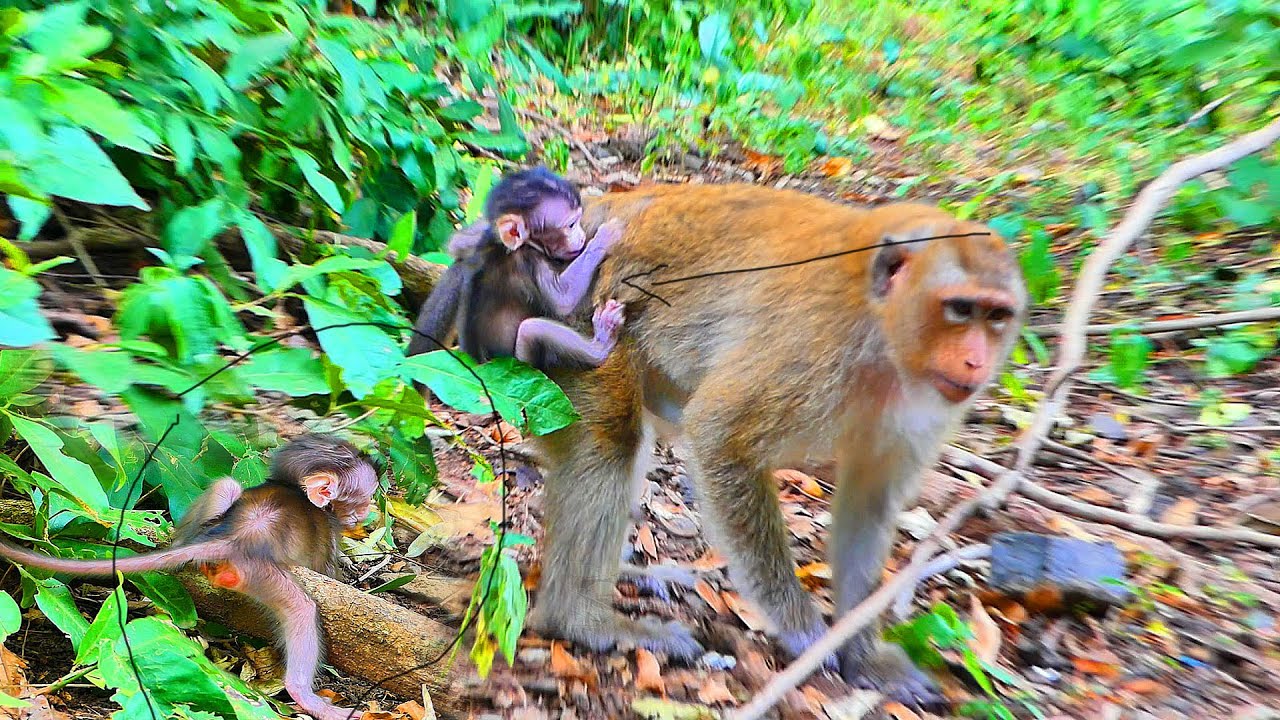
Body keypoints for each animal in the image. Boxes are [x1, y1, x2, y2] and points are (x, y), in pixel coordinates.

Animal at [0, 433, 379, 720]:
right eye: (365, 499)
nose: (369, 513)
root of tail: (231, 534)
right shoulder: (326, 538)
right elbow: (327, 572)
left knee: (226, 485)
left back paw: (180, 544)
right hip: (258, 570)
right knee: (300, 608)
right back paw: (303, 693)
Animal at [405, 166, 627, 372]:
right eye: (571, 225)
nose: (581, 237)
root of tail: (479, 364)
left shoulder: (484, 240)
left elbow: (457, 244)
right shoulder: (529, 260)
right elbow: (563, 300)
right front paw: (605, 237)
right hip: (520, 363)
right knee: (531, 329)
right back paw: (600, 344)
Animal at [524, 184, 1027, 704]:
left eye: (997, 316)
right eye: (960, 309)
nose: (976, 361)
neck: (881, 328)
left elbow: (868, 503)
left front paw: (863, 651)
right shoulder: (812, 346)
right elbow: (720, 434)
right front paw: (806, 632)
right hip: (579, 316)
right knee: (613, 437)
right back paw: (579, 618)